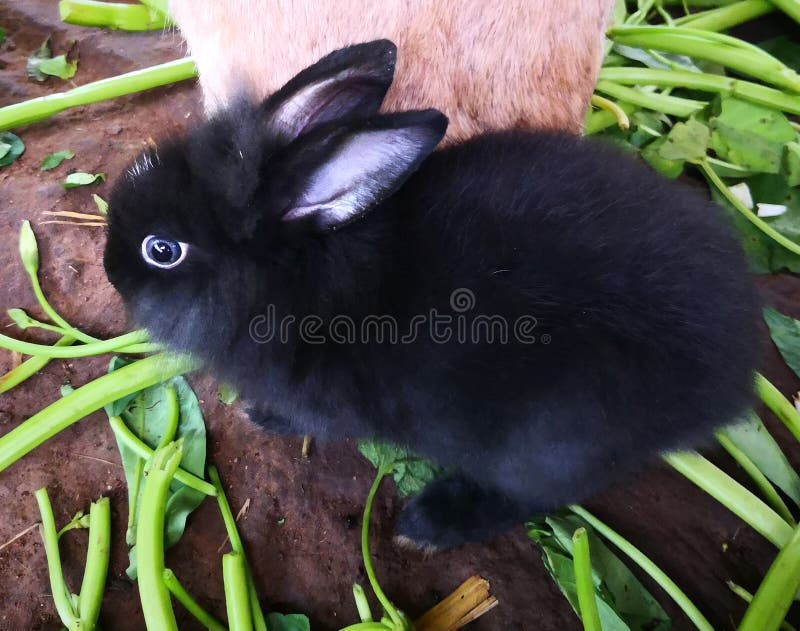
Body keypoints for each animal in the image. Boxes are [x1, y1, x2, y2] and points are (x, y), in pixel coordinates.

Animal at [104, 40, 760, 549]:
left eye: (162, 250)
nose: (110, 270)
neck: (289, 277)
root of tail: (730, 375)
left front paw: (260, 413)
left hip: (550, 438)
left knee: (539, 494)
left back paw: (429, 525)